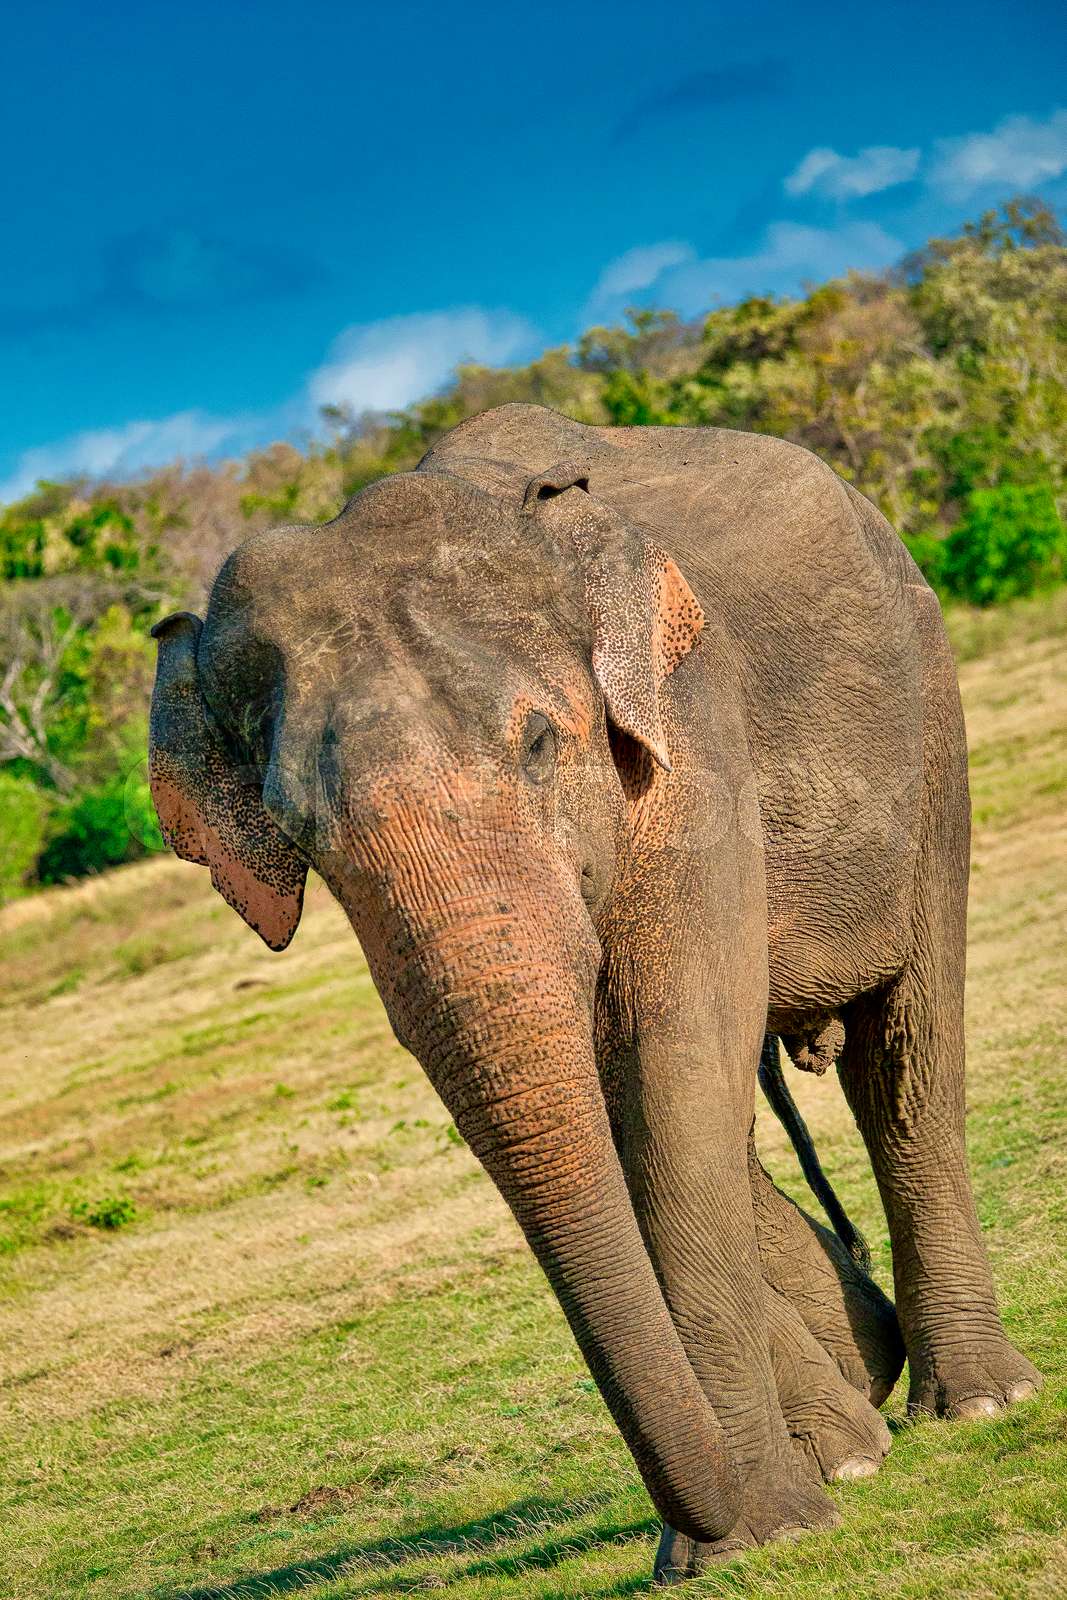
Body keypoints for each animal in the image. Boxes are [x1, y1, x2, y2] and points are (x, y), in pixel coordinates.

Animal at [148, 403, 1040, 1582]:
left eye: (538, 743)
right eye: (297, 830)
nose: (694, 1529)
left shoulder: (690, 737)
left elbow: (669, 1074)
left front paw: (760, 1529)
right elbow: (631, 1110)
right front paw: (813, 1480)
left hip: (929, 709)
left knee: (906, 1053)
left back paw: (976, 1399)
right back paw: (868, 1389)